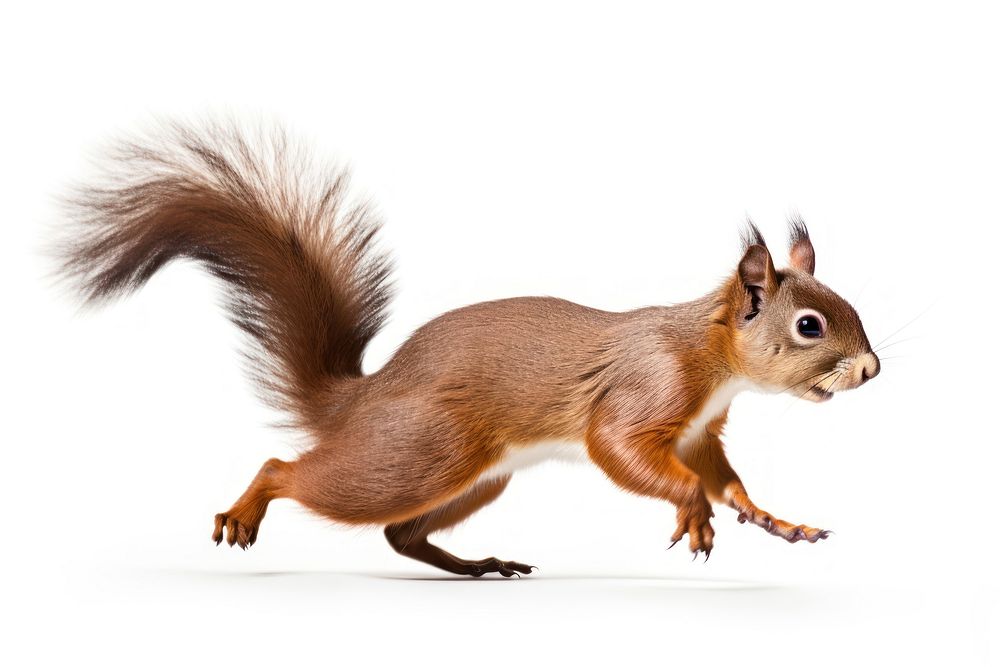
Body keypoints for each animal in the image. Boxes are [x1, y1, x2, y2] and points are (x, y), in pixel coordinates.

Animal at [57, 121, 880, 577]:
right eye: (810, 325)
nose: (871, 369)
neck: (709, 356)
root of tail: (360, 397)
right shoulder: (645, 391)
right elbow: (621, 449)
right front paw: (694, 512)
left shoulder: (699, 431)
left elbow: (725, 477)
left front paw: (769, 516)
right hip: (420, 453)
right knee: (294, 473)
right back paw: (248, 507)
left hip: (475, 477)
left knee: (399, 533)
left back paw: (476, 565)